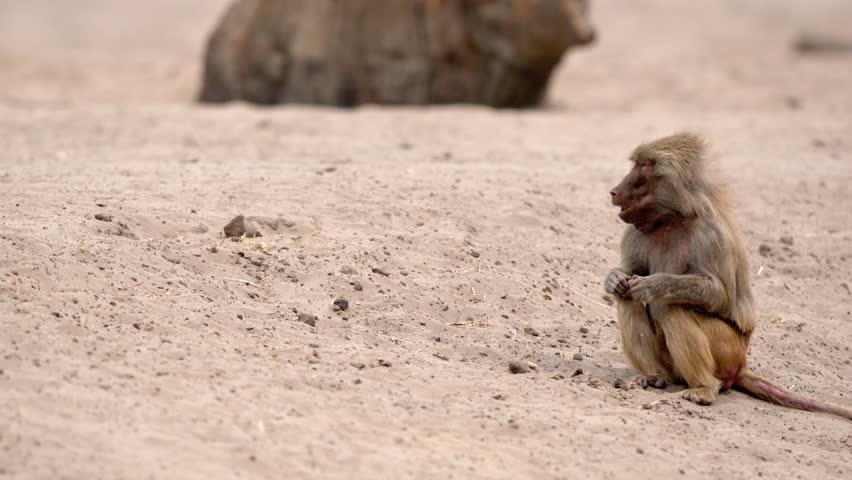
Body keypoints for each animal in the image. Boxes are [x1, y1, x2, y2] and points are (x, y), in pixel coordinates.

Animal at [604, 131, 852, 421]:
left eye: (642, 168)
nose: (614, 191)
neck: (672, 220)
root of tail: (742, 364)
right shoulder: (634, 232)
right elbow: (628, 276)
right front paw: (614, 278)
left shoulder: (711, 237)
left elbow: (719, 294)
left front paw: (653, 285)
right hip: (678, 366)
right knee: (627, 298)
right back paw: (653, 377)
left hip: (729, 350)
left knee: (671, 307)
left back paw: (703, 388)